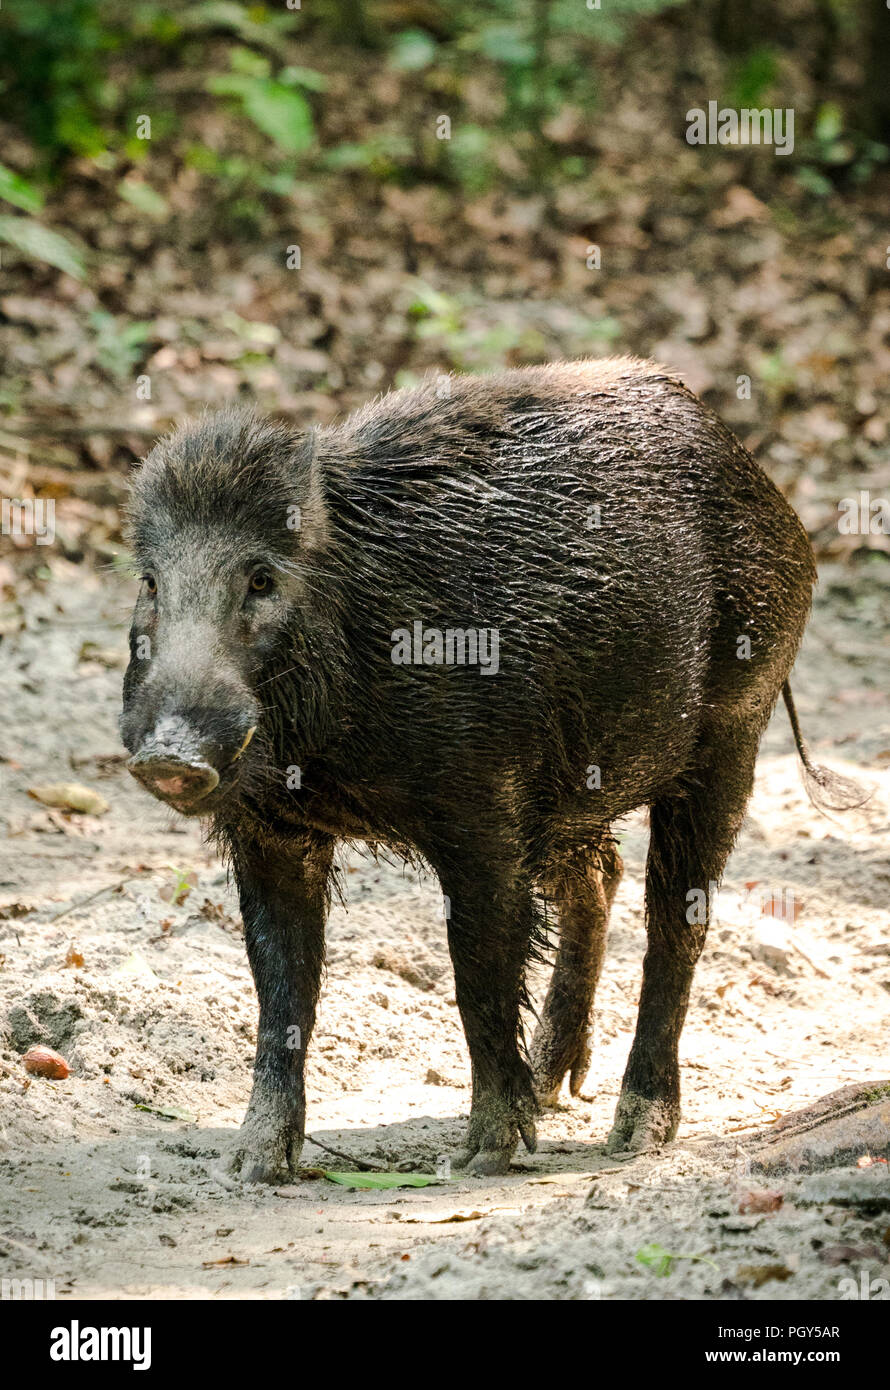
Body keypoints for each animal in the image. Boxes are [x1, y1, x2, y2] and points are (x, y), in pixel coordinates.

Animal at [121, 357, 851, 1181]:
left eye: (261, 579)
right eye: (151, 582)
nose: (167, 756)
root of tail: (764, 484)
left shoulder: (484, 809)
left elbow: (479, 970)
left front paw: (481, 1157)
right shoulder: (272, 829)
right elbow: (279, 993)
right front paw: (250, 1165)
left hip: (733, 731)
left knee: (678, 921)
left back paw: (634, 1135)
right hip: (576, 789)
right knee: (600, 875)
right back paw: (558, 1087)